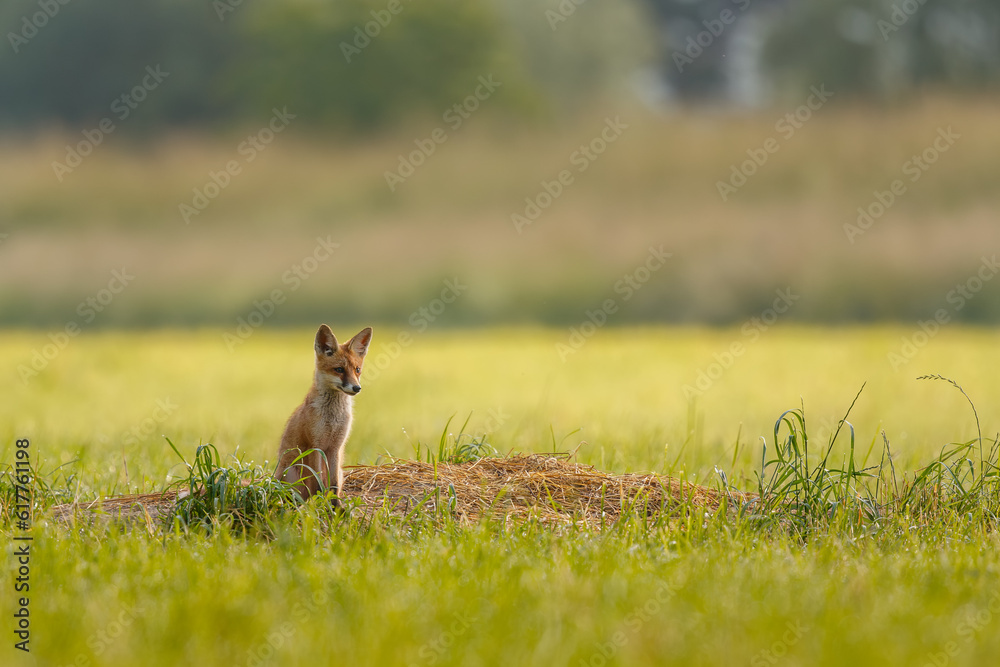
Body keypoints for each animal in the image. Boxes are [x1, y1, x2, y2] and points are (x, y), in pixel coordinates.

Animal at [276, 324, 373, 503]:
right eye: (339, 369)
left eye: (357, 370)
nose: (357, 388)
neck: (333, 418)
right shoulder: (315, 445)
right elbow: (317, 482)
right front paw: (320, 503)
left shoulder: (335, 447)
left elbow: (333, 485)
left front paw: (335, 505)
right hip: (291, 473)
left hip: (339, 470)